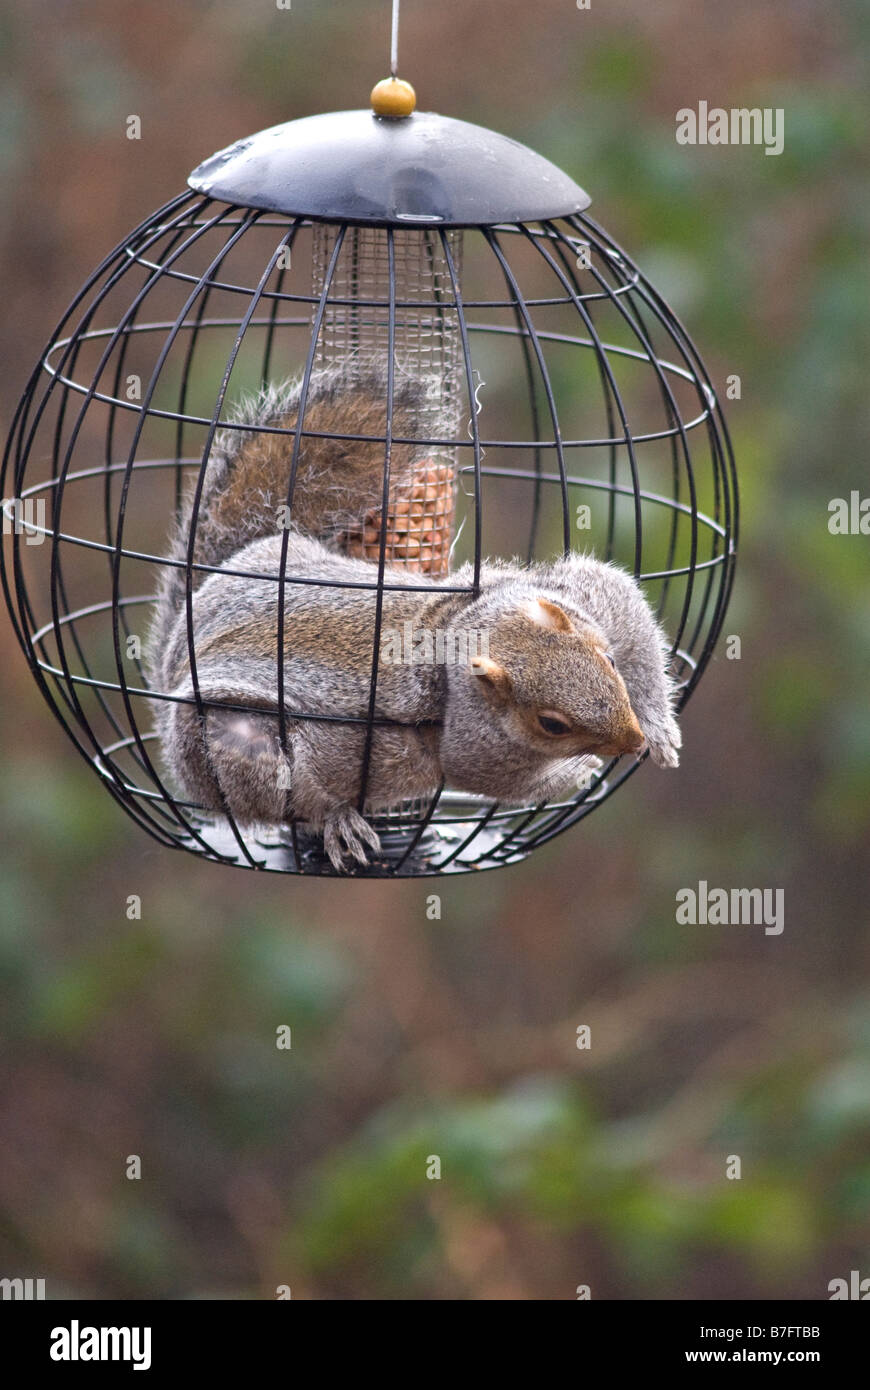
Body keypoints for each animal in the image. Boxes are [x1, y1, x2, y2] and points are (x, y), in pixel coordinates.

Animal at [147, 365, 681, 871]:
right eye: (552, 724)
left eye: (609, 662)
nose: (632, 741)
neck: (456, 631)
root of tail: (180, 641)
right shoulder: (472, 752)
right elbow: (516, 783)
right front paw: (582, 768)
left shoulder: (584, 600)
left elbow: (630, 614)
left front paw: (659, 729)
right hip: (232, 745)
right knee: (290, 805)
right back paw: (337, 821)